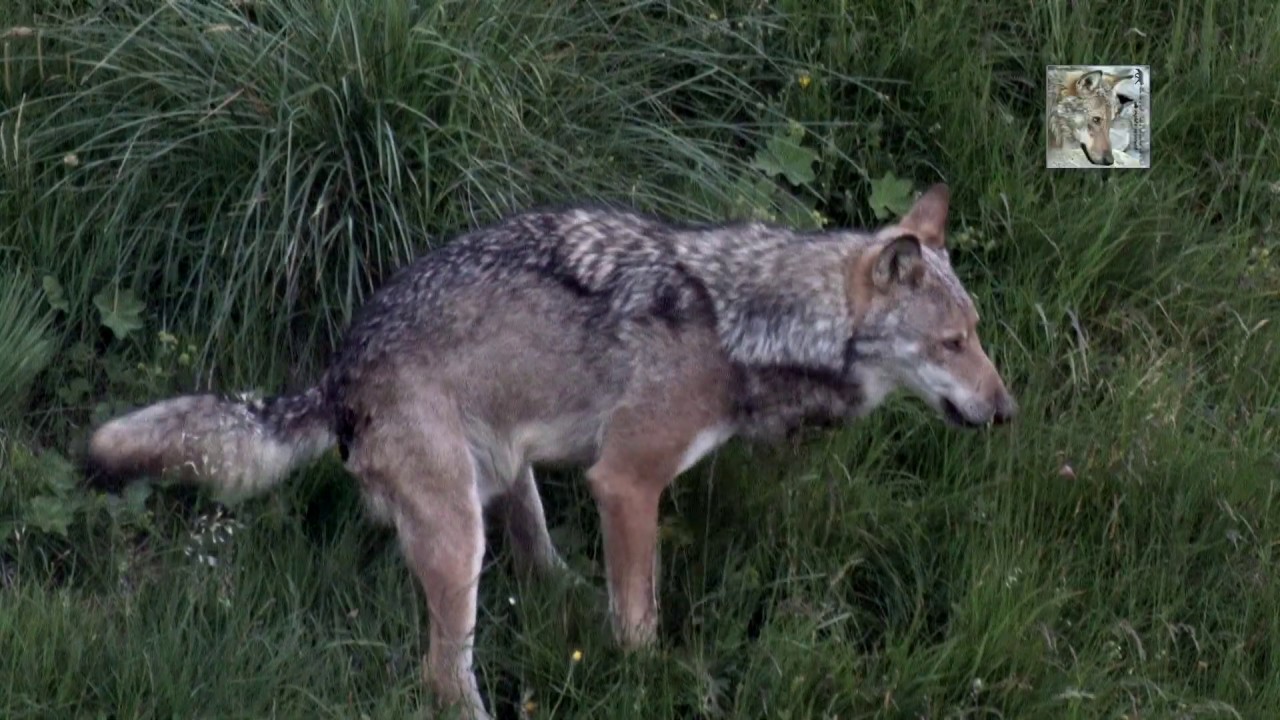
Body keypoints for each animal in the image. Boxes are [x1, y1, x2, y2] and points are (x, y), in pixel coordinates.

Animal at [85, 184, 1016, 719]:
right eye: (953, 343)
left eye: (975, 335)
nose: (1008, 411)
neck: (744, 325)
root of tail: (338, 371)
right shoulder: (627, 481)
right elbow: (639, 623)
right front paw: (652, 683)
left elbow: (624, 602)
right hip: (460, 536)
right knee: (443, 675)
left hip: (507, 478)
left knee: (542, 573)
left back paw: (565, 600)